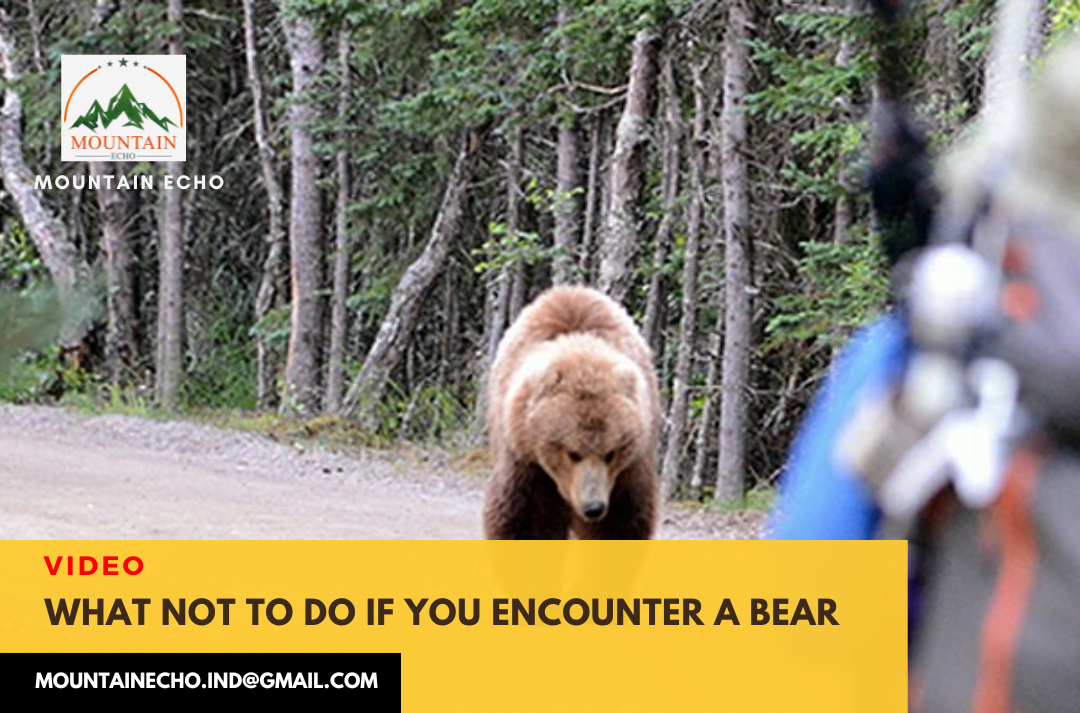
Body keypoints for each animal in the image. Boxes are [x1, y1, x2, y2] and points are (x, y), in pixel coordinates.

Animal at [483, 285, 661, 539]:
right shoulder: (525, 459)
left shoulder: (630, 469)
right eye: (573, 453)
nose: (593, 507)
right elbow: (527, 520)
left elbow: (618, 524)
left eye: (611, 453)